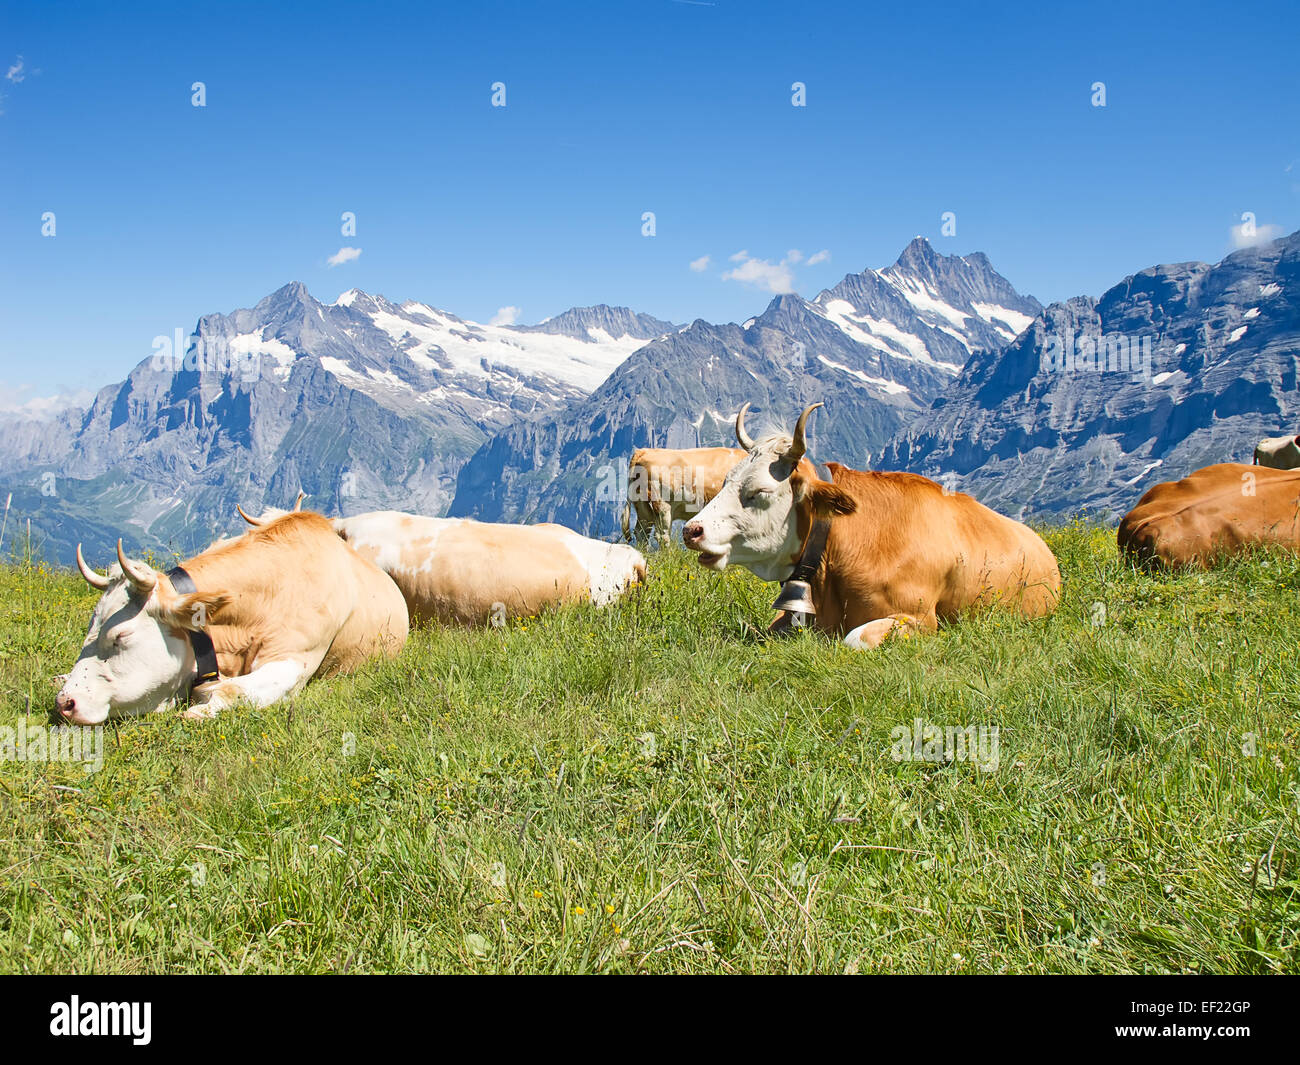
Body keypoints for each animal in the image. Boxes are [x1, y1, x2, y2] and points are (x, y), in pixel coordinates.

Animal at [681, 402, 1061, 649]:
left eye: (759, 491)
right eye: (726, 480)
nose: (691, 530)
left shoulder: (921, 619)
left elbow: (855, 639)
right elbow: (761, 630)